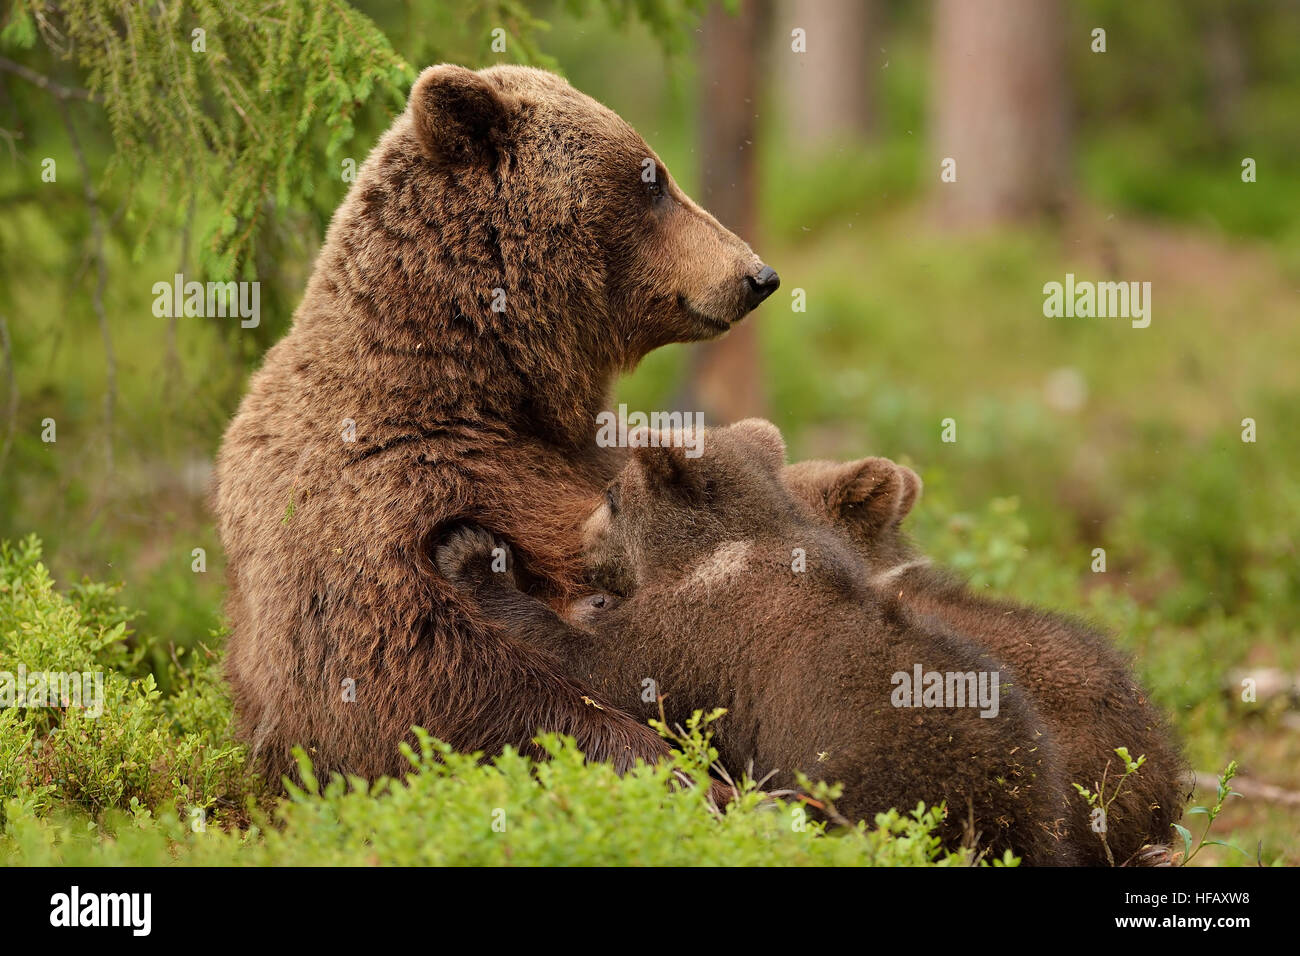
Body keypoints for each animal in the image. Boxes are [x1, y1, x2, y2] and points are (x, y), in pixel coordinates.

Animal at [212, 63, 780, 785]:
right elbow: (413, 679)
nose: (757, 274)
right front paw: (668, 768)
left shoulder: (587, 454)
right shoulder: (378, 504)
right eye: (650, 180)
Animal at [437, 420, 1077, 865]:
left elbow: (600, 669)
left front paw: (470, 552)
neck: (709, 553)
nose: (575, 544)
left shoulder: (699, 633)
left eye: (612, 494)